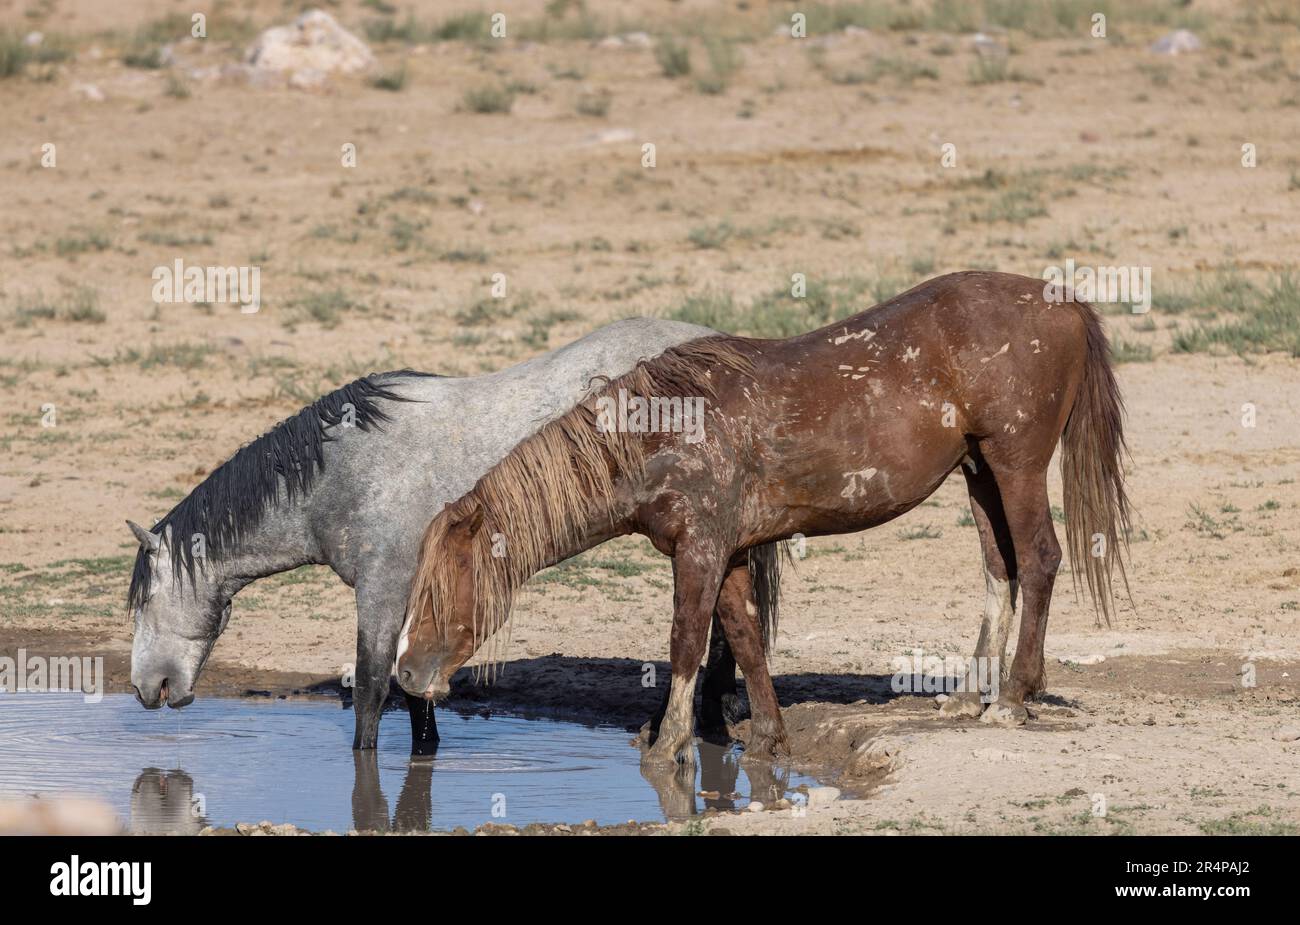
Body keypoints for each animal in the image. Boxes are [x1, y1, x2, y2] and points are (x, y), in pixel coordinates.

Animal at [126, 317, 786, 755]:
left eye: (143, 600)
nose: (144, 689)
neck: (343, 473)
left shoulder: (383, 589)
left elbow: (373, 688)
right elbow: (416, 685)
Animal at [396, 271, 1132, 768]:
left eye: (435, 589)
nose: (404, 673)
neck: (662, 432)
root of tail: (1063, 301)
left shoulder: (697, 551)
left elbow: (686, 642)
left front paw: (669, 746)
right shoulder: (726, 553)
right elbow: (747, 639)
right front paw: (769, 739)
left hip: (1016, 463)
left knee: (1038, 560)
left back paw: (1011, 698)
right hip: (979, 471)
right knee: (998, 570)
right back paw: (966, 695)